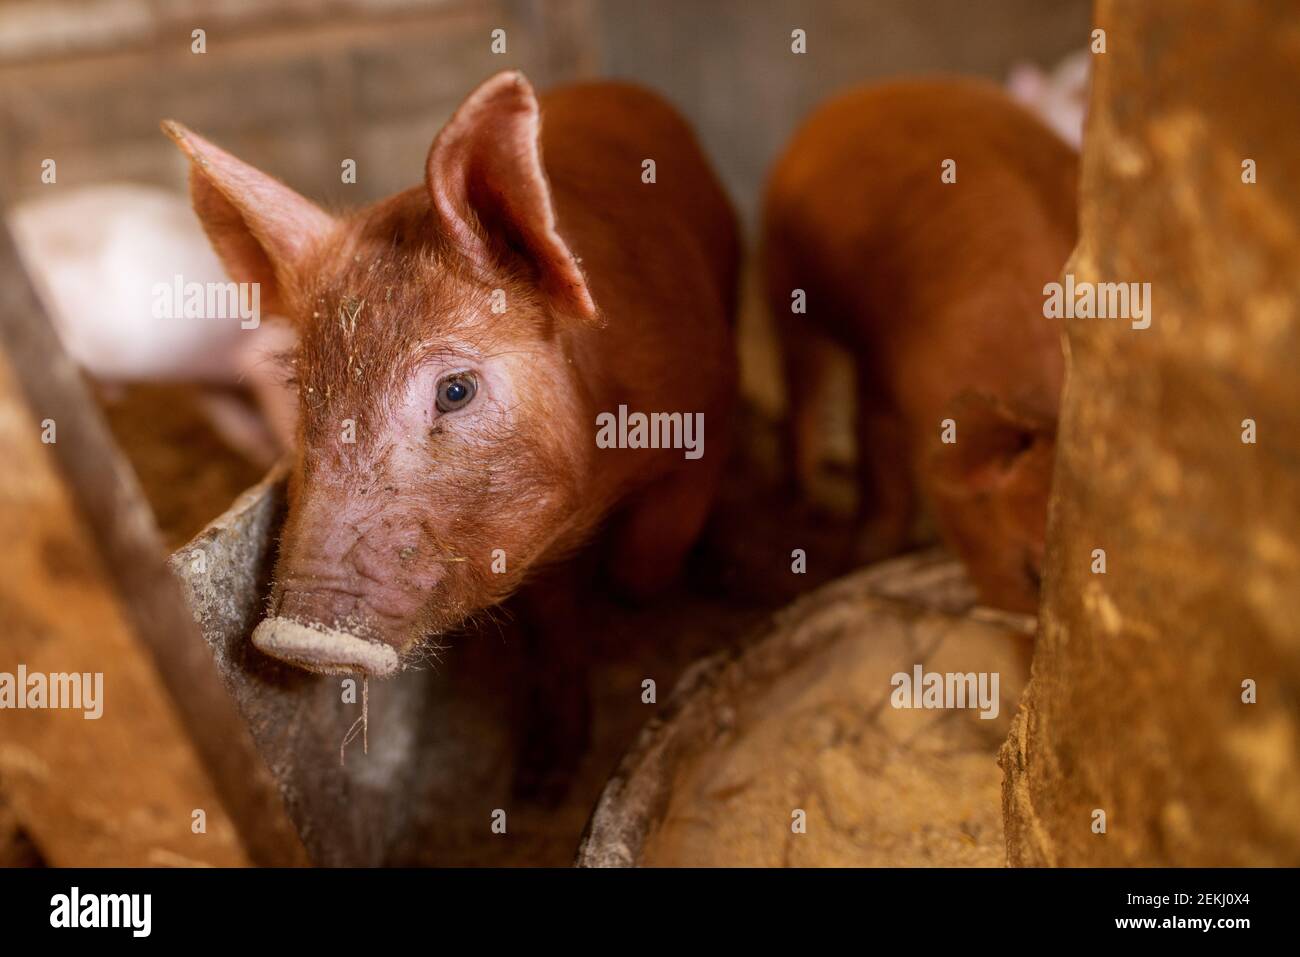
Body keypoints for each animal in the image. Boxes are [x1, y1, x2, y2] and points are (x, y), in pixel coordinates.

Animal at [164, 71, 738, 793]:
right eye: (302, 389)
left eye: (455, 390)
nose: (303, 639)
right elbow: (552, 616)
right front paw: (541, 779)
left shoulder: (706, 411)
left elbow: (650, 556)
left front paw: (631, 592)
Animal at [761, 78, 1077, 614]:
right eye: (1034, 575)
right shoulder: (884, 371)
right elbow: (882, 465)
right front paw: (868, 555)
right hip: (783, 273)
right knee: (804, 382)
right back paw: (808, 500)